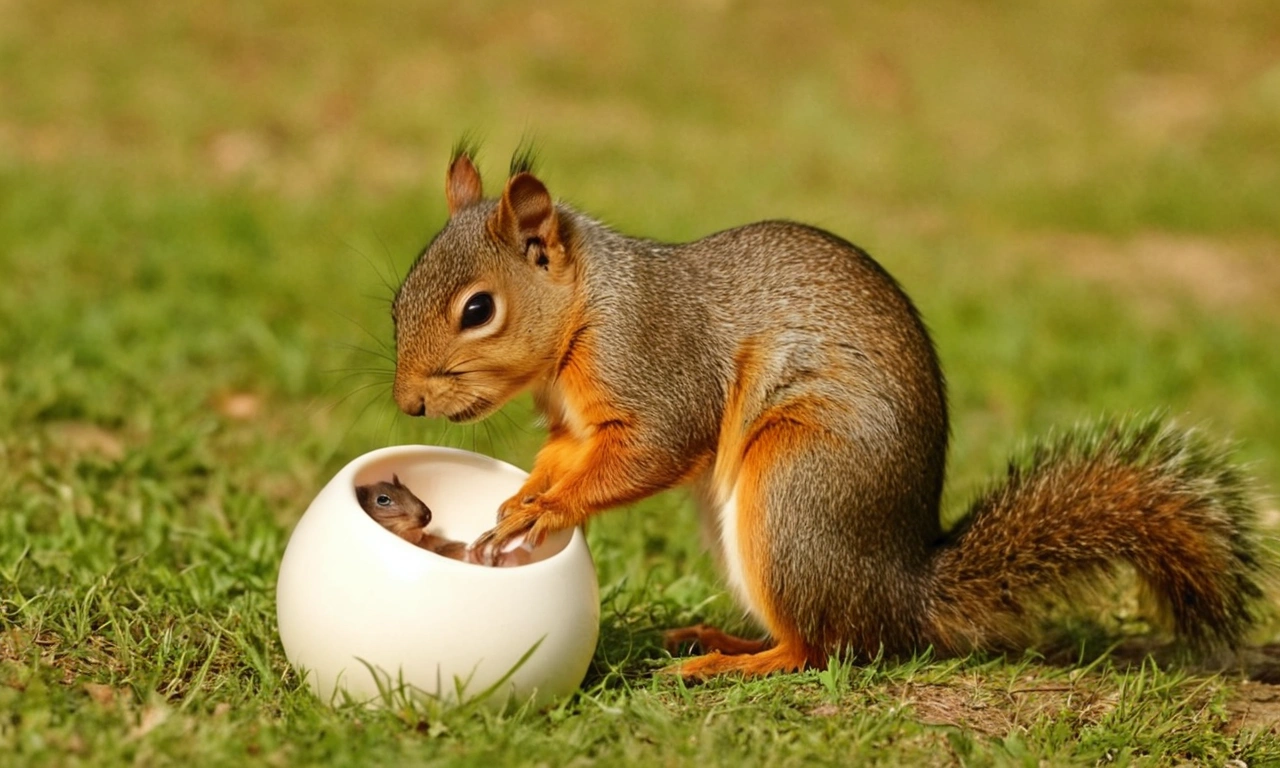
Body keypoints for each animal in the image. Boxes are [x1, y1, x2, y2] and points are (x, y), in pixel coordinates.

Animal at [387, 144, 1266, 679]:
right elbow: (566, 457)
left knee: (824, 648)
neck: (584, 312)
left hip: (794, 490)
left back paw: (731, 664)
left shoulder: (658, 368)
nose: (409, 402)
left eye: (477, 310)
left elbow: (652, 452)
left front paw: (547, 509)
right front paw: (524, 497)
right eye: (399, 297)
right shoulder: (575, 424)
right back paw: (722, 638)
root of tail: (905, 593)